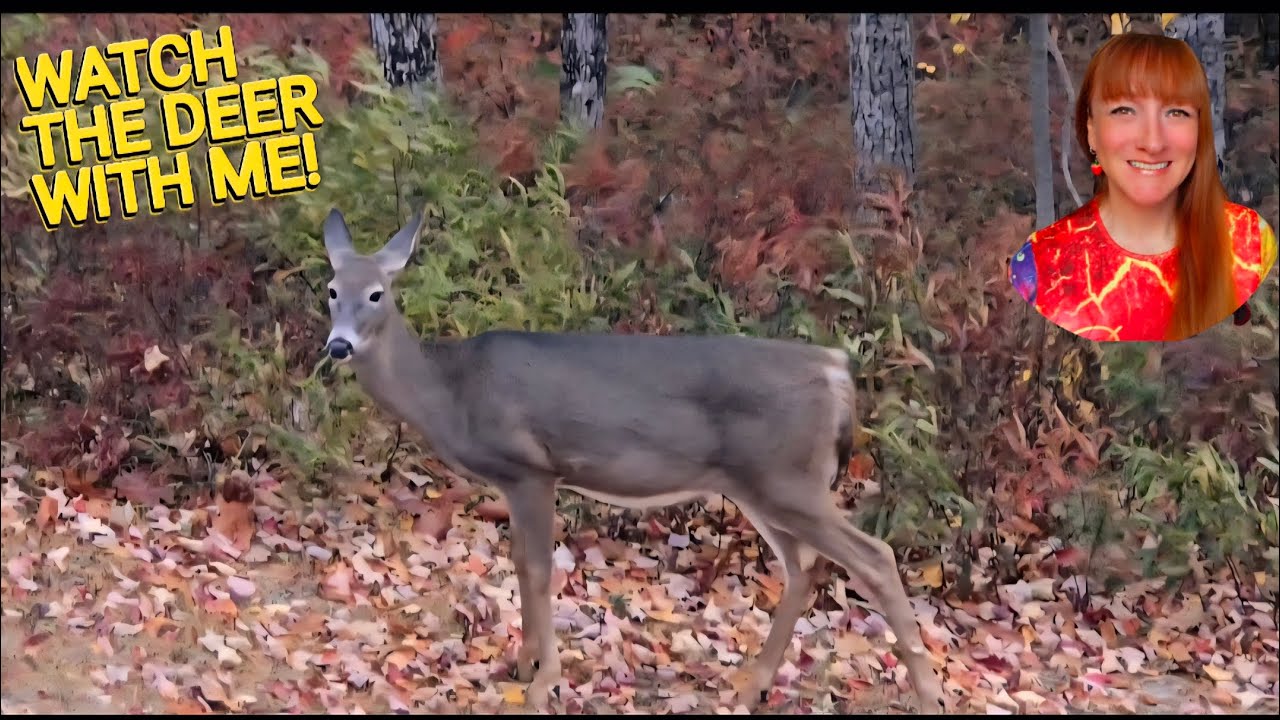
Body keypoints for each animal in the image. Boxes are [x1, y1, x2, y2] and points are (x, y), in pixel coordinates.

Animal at [318, 207, 948, 713]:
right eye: (330, 288)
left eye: (376, 293)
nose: (338, 345)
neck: (451, 391)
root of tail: (836, 370)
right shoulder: (512, 482)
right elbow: (520, 563)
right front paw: (521, 664)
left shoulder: (532, 468)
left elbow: (540, 570)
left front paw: (543, 682)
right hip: (768, 484)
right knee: (804, 568)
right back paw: (753, 688)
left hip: (786, 479)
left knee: (874, 557)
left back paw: (926, 695)